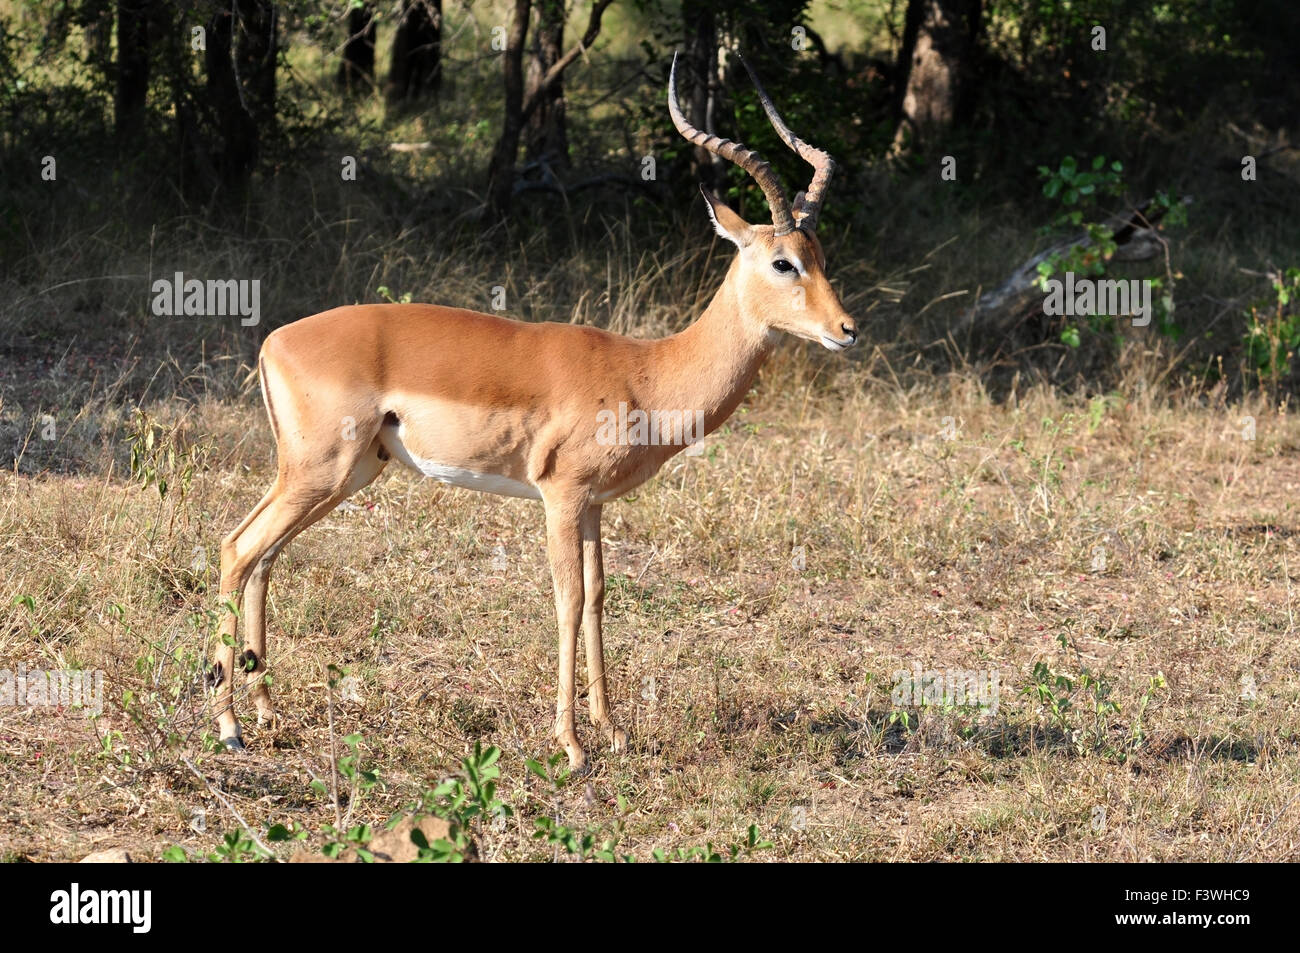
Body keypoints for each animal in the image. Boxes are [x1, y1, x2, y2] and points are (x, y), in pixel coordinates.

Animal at [212, 53, 857, 769]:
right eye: (783, 262)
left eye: (822, 258)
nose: (846, 329)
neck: (646, 373)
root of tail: (275, 340)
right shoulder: (560, 495)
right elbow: (567, 602)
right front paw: (572, 745)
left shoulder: (595, 504)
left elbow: (600, 598)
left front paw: (612, 730)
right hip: (319, 471)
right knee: (237, 548)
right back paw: (229, 725)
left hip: (343, 474)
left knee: (264, 557)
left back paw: (266, 712)